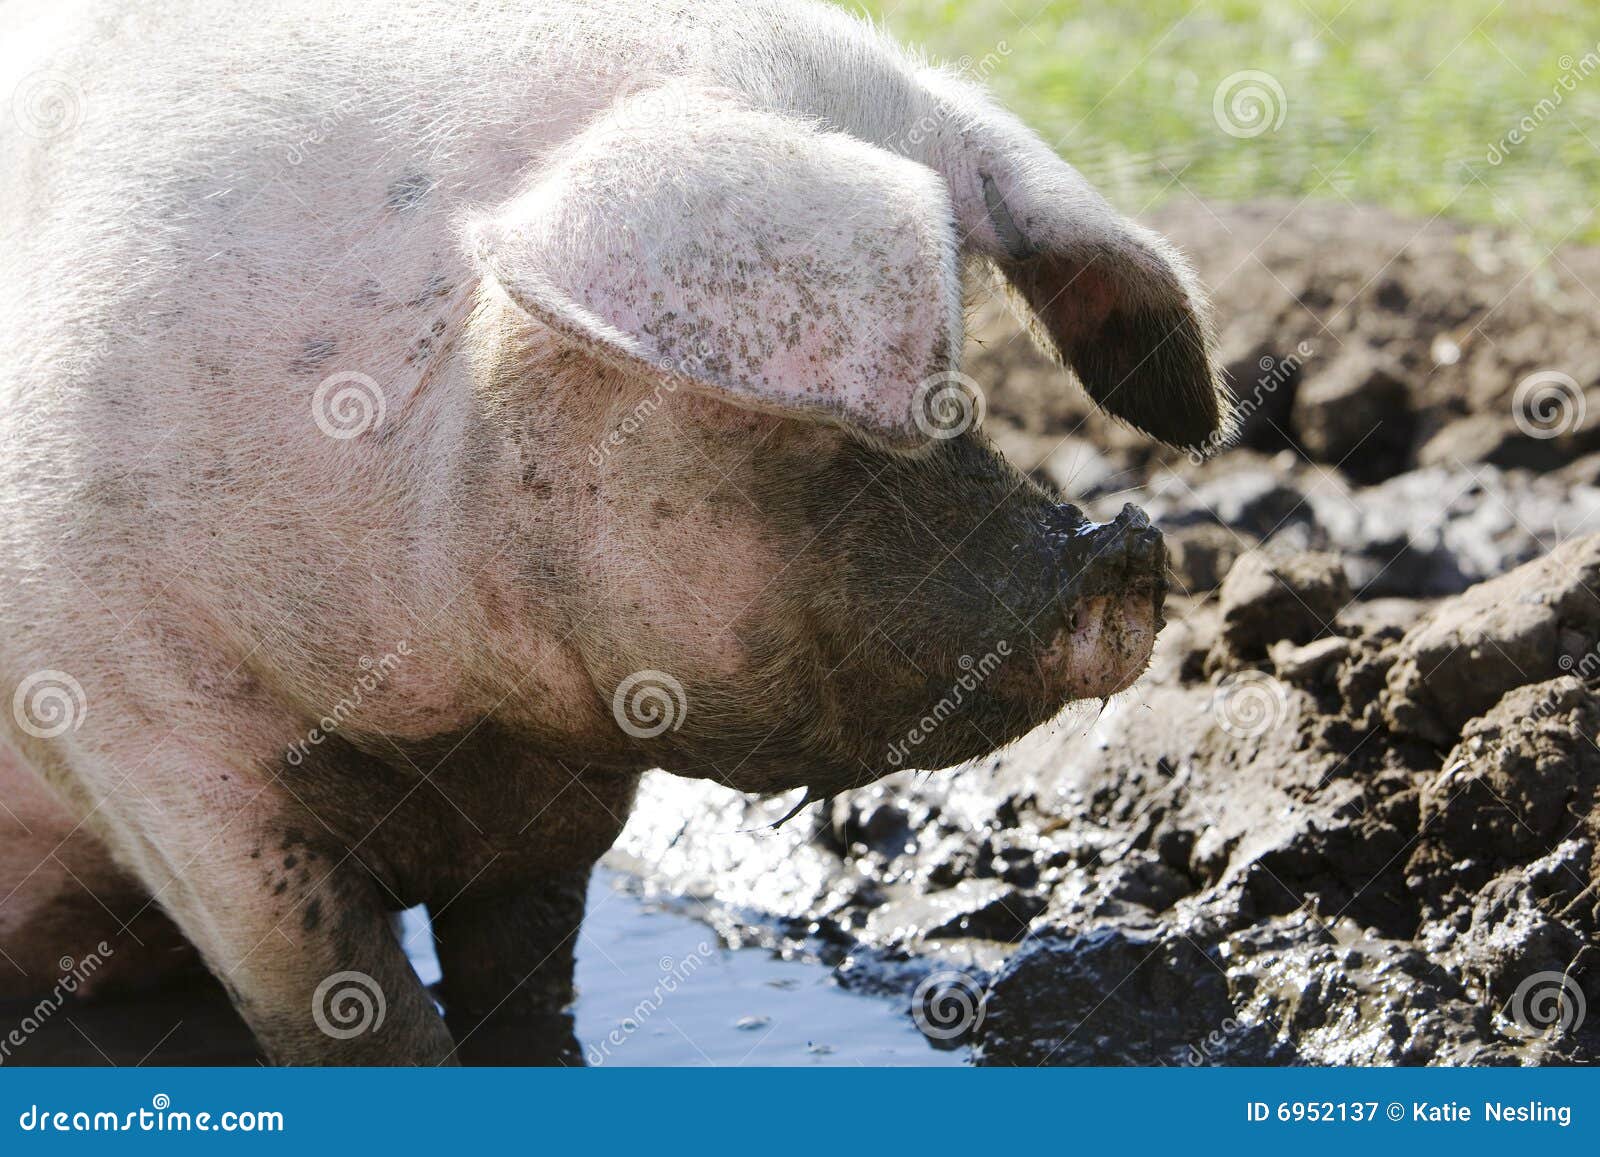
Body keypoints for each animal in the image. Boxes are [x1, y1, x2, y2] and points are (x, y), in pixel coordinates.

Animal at [0, 0, 1231, 1063]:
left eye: (968, 366)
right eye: (793, 422)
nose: (1124, 551)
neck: (457, 719)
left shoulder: (553, 792)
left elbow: (525, 973)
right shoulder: (140, 736)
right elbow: (348, 1006)